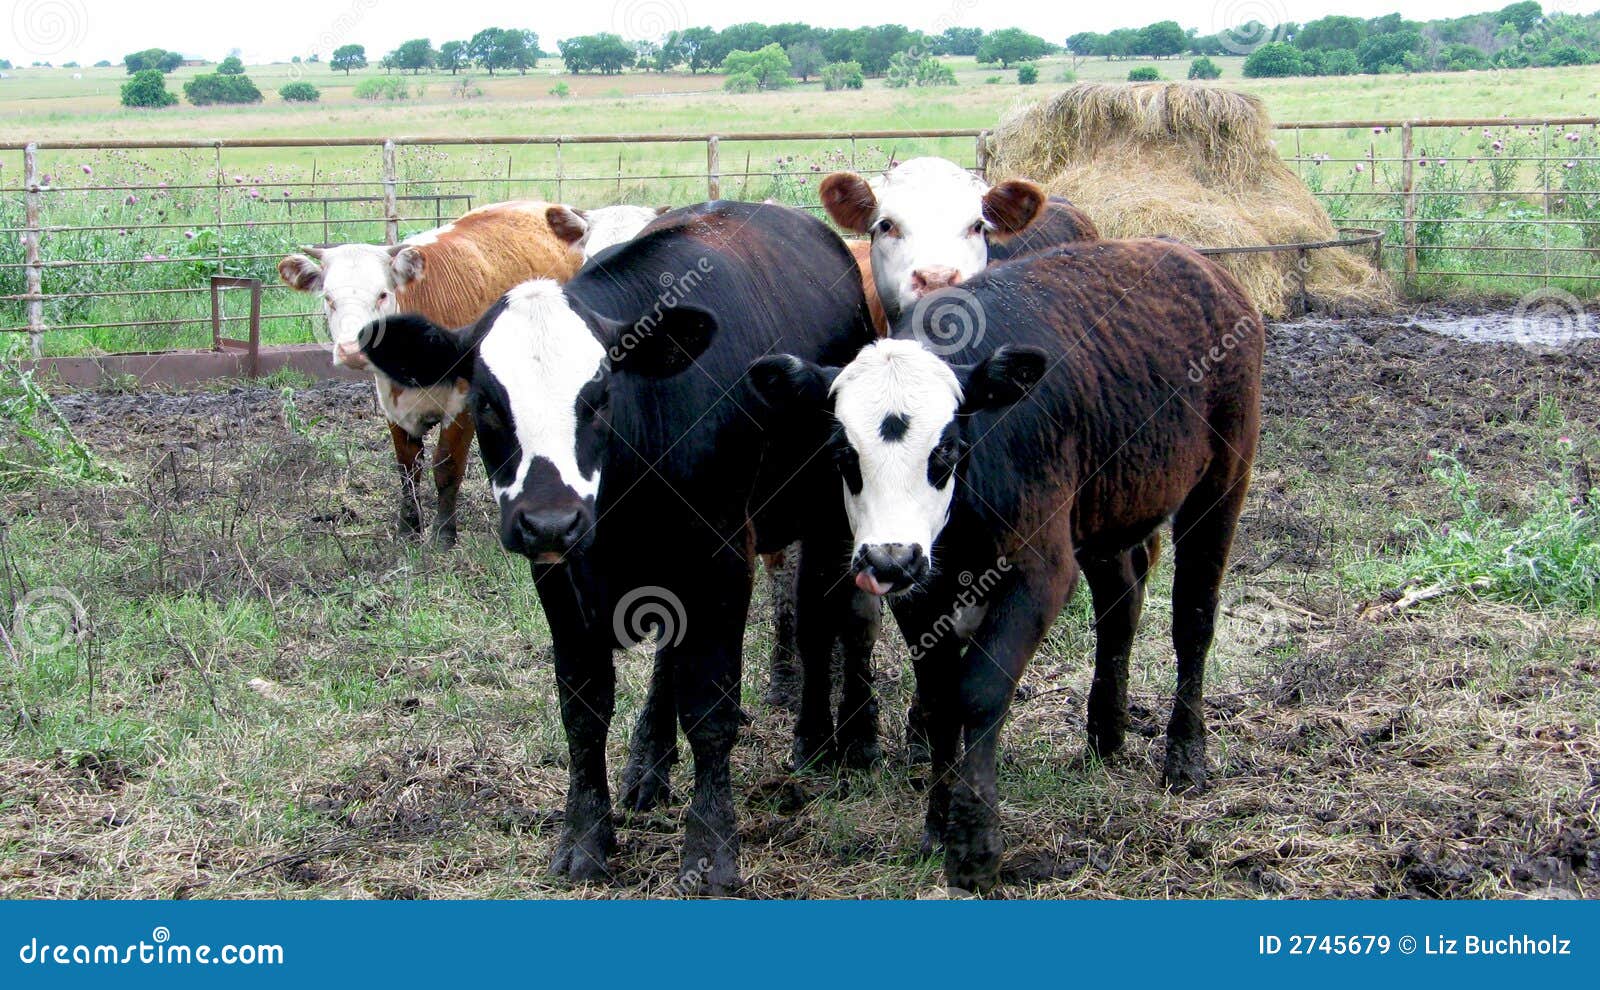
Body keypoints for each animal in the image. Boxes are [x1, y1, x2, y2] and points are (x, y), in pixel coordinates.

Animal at [278, 200, 586, 546]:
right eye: (329, 298)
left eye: (382, 294)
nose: (350, 350)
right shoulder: (392, 405)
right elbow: (407, 468)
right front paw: (408, 528)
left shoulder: (462, 404)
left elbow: (447, 465)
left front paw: (443, 534)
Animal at [357, 201, 878, 893]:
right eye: (488, 403)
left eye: (599, 396)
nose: (549, 520)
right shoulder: (561, 578)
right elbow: (584, 707)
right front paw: (586, 838)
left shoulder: (721, 560)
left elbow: (710, 707)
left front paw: (711, 850)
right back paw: (648, 766)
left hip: (827, 510)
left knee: (831, 617)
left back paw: (829, 739)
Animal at [749, 239, 1263, 892]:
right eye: (843, 453)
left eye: (945, 450)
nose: (890, 557)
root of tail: (1199, 262)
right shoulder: (923, 590)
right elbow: (940, 698)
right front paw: (939, 822)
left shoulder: (1040, 573)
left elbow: (980, 692)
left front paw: (975, 842)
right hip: (1106, 509)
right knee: (1120, 601)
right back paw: (1106, 732)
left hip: (1223, 482)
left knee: (1193, 620)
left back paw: (1185, 755)